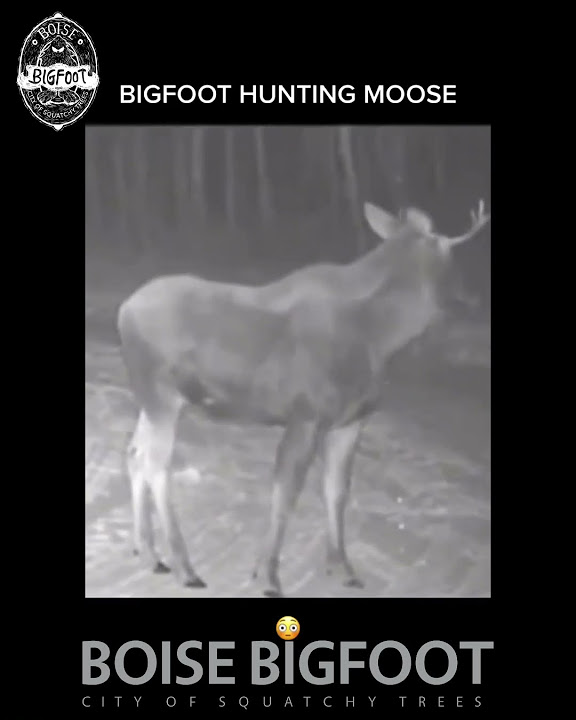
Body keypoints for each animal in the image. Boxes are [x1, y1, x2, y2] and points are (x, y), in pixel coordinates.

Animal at [117, 199, 490, 597]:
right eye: (451, 252)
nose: (474, 296)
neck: (382, 336)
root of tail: (123, 311)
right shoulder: (306, 414)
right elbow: (287, 491)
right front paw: (267, 575)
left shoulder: (350, 421)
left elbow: (336, 491)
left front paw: (343, 568)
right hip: (162, 396)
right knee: (156, 465)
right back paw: (184, 567)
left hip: (151, 401)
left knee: (135, 453)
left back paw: (148, 552)